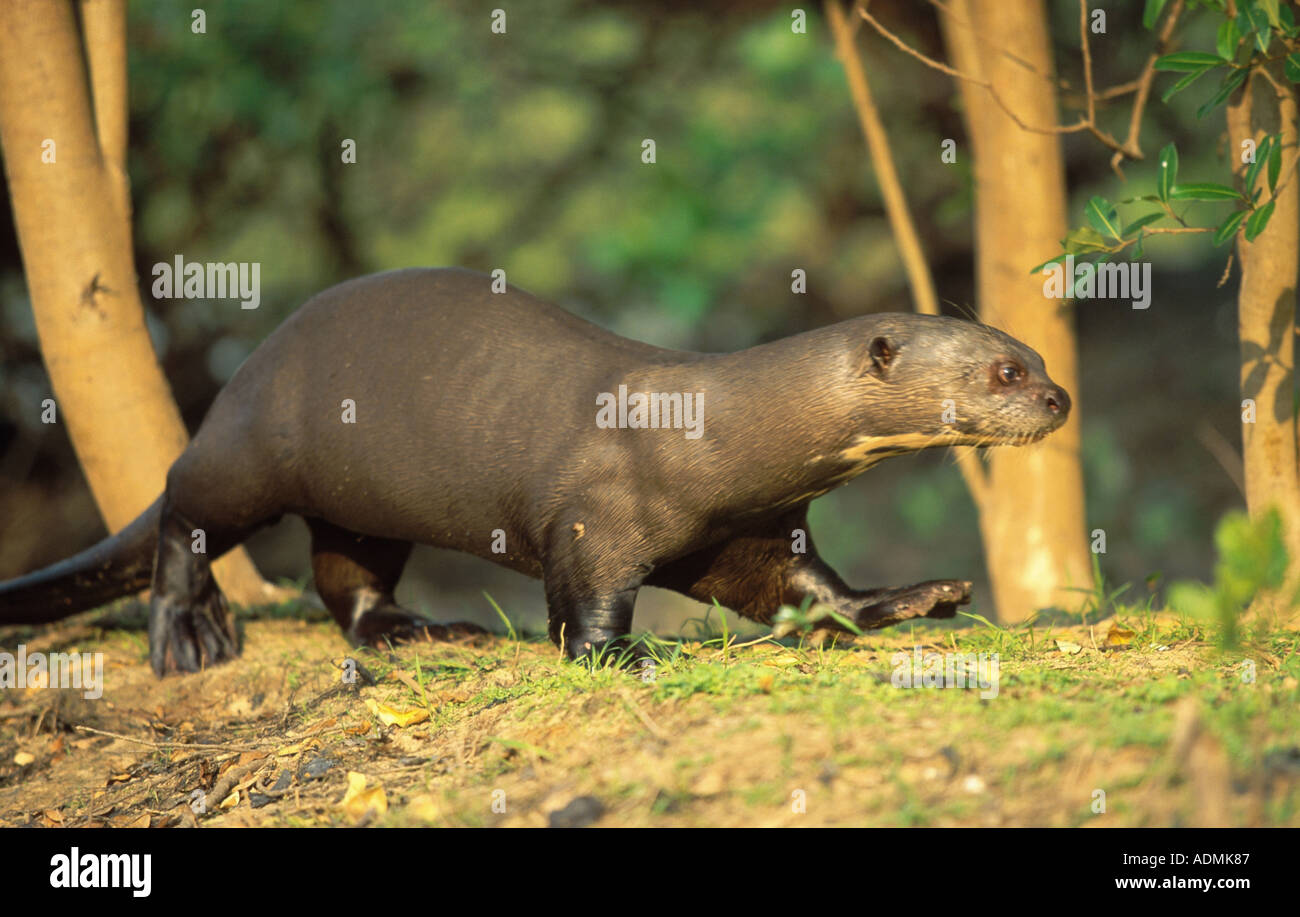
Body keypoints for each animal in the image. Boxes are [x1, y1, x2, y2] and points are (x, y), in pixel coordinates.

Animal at [0, 268, 1069, 674]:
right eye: (1004, 370)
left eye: (1033, 355)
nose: (1060, 398)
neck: (711, 435)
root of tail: (244, 371)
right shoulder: (595, 515)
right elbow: (584, 603)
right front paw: (620, 653)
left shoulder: (750, 530)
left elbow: (806, 588)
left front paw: (914, 596)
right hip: (249, 445)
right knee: (184, 508)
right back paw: (190, 631)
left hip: (362, 506)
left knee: (348, 579)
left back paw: (420, 626)